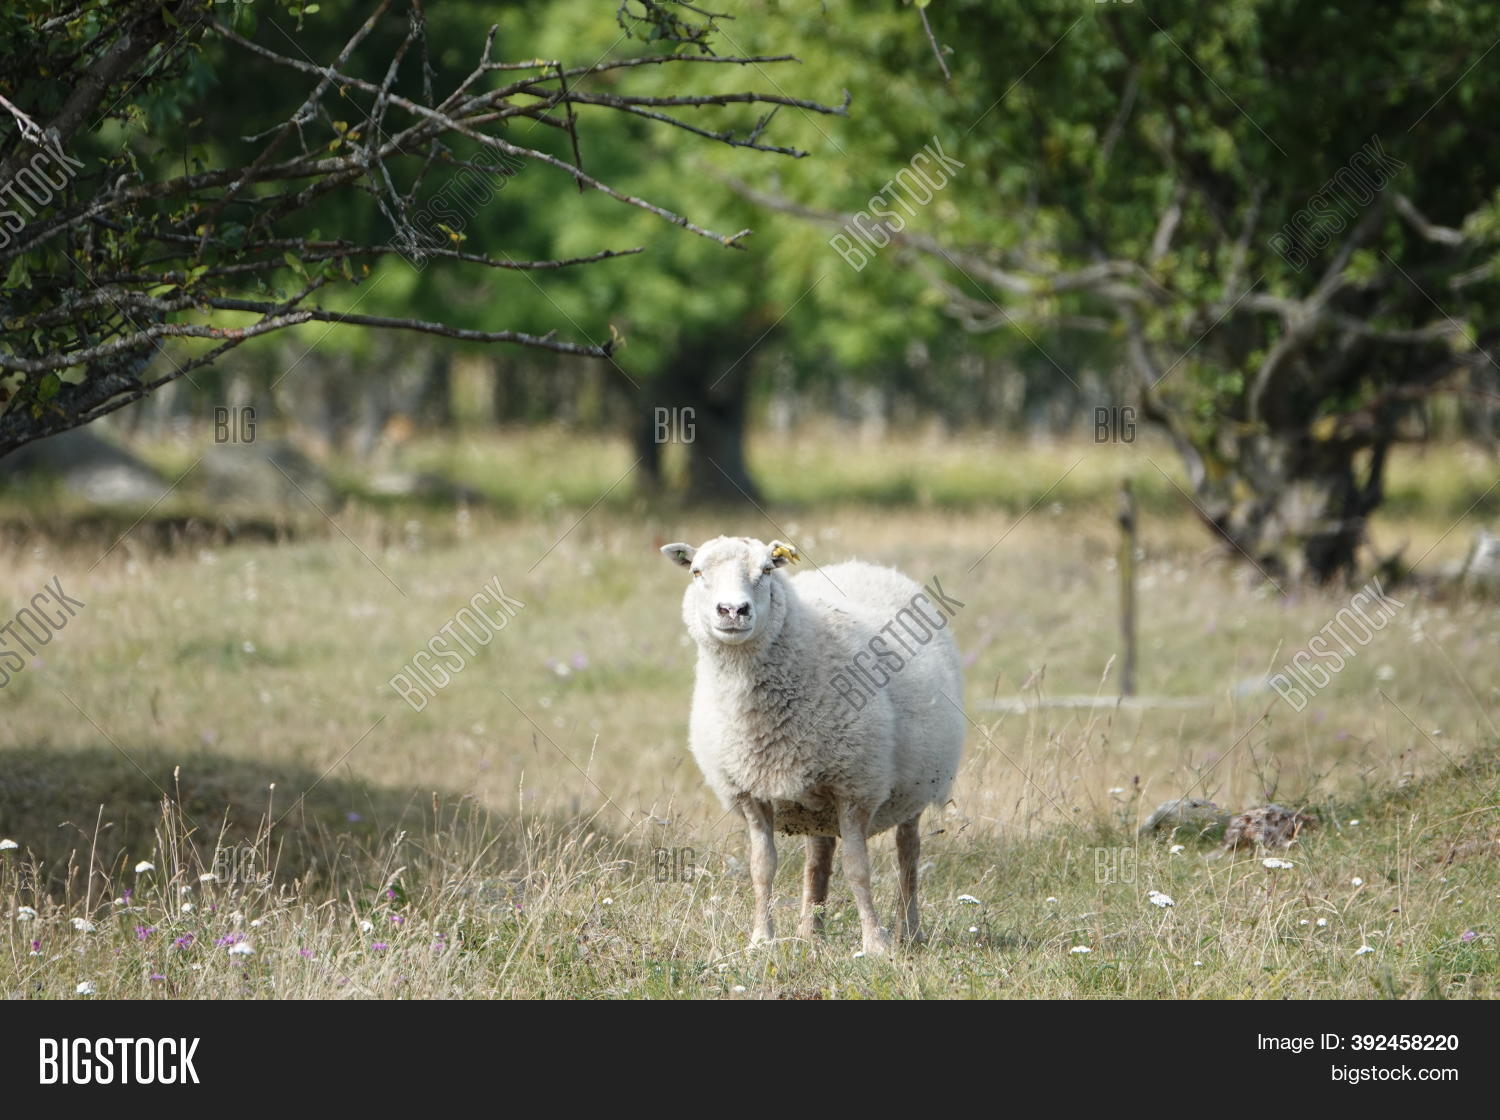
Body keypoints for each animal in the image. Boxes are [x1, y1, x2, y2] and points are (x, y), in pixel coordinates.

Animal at [660, 534, 965, 956]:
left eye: (766, 570)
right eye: (696, 571)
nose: (733, 610)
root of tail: (863, 565)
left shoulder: (856, 787)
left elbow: (858, 868)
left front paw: (875, 943)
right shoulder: (750, 792)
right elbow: (762, 867)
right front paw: (761, 939)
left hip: (915, 786)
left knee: (908, 853)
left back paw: (909, 930)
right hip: (817, 800)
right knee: (818, 859)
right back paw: (811, 931)